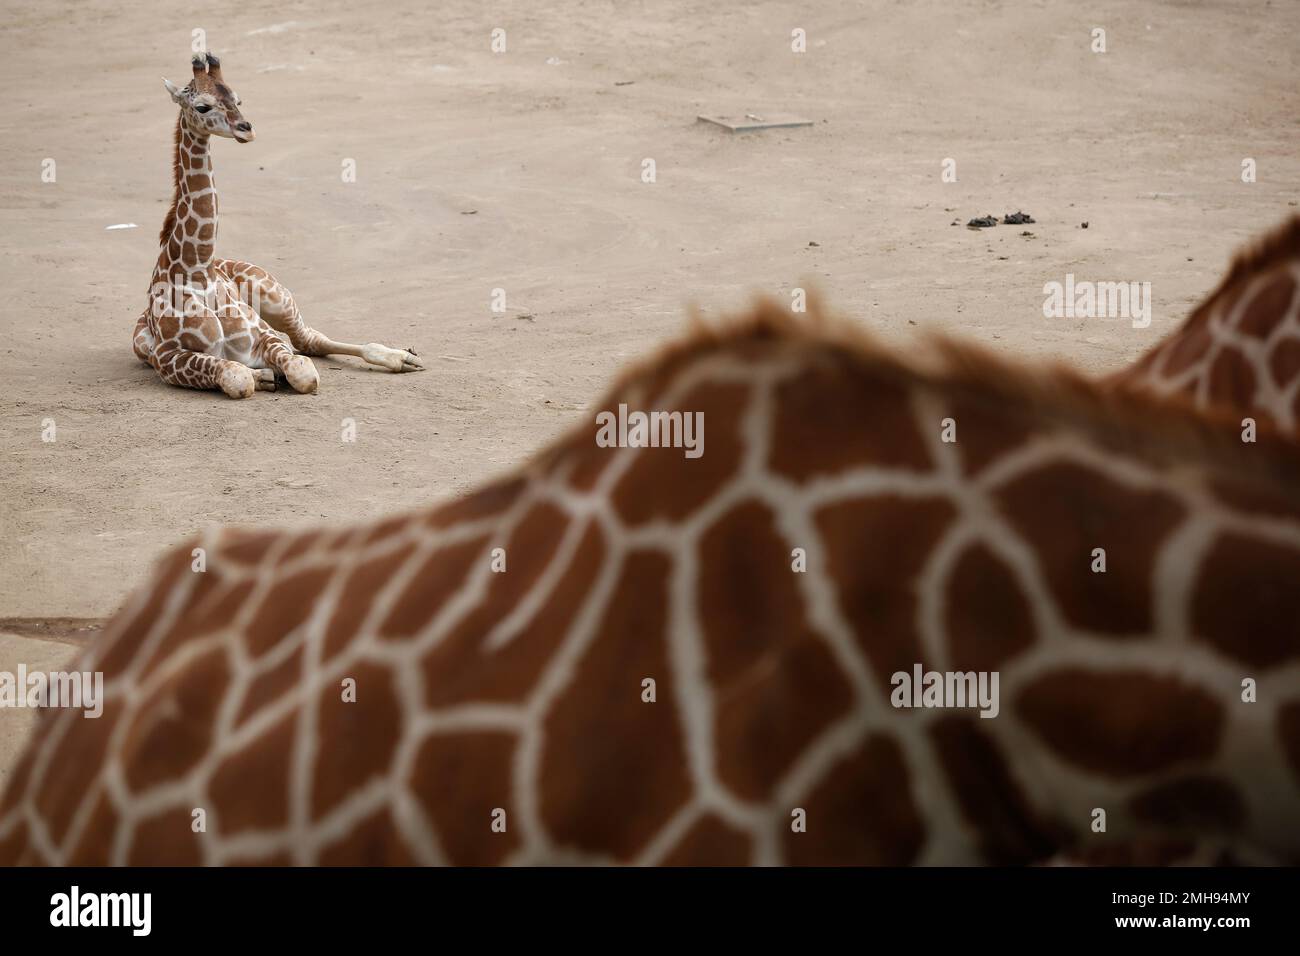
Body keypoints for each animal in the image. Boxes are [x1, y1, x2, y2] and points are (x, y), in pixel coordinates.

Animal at [132, 51, 423, 399]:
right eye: (202, 106)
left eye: (237, 99)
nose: (246, 129)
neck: (197, 268)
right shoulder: (165, 357)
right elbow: (237, 377)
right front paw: (262, 376)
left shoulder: (263, 335)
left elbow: (303, 372)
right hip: (141, 344)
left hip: (276, 296)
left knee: (309, 339)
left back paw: (404, 358)